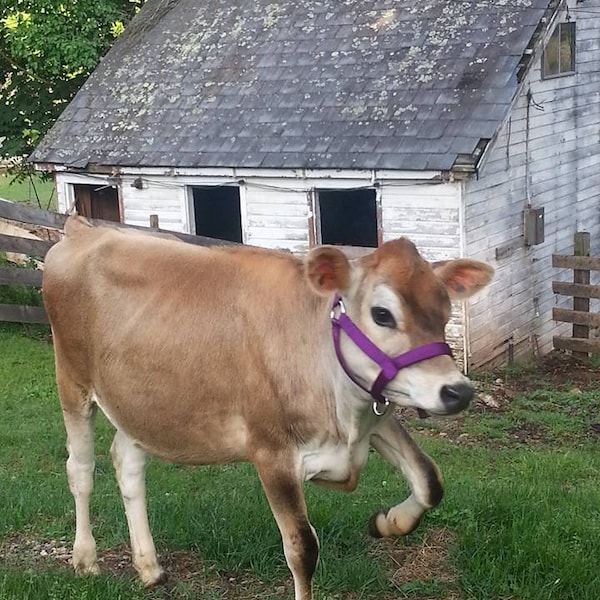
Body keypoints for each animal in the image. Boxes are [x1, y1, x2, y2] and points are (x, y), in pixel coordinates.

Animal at [41, 217, 492, 600]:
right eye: (382, 314)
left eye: (445, 310)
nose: (457, 391)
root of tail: (83, 229)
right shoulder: (272, 454)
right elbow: (302, 548)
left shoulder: (376, 418)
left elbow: (430, 480)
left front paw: (389, 522)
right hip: (72, 381)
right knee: (81, 469)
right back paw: (86, 558)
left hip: (139, 401)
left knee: (128, 464)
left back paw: (149, 567)